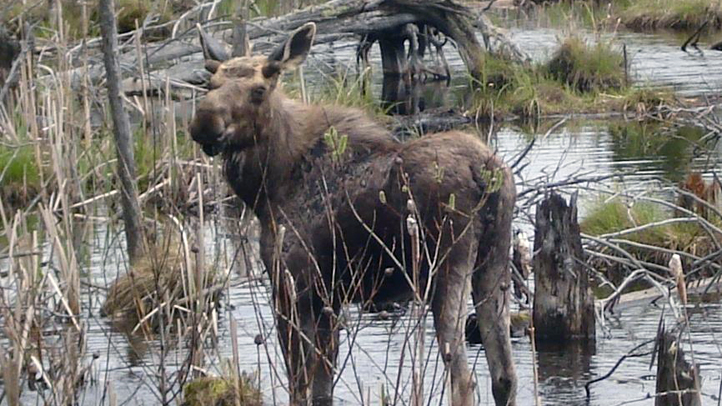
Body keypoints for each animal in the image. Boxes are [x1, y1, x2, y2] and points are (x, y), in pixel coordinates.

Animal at [190, 22, 517, 406]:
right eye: (209, 83)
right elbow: (322, 389)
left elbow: (299, 386)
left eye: (259, 89)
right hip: (494, 261)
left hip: (447, 265)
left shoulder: (293, 287)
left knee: (465, 381)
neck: (267, 187)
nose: (204, 122)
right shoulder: (328, 298)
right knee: (504, 375)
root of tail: (485, 172)